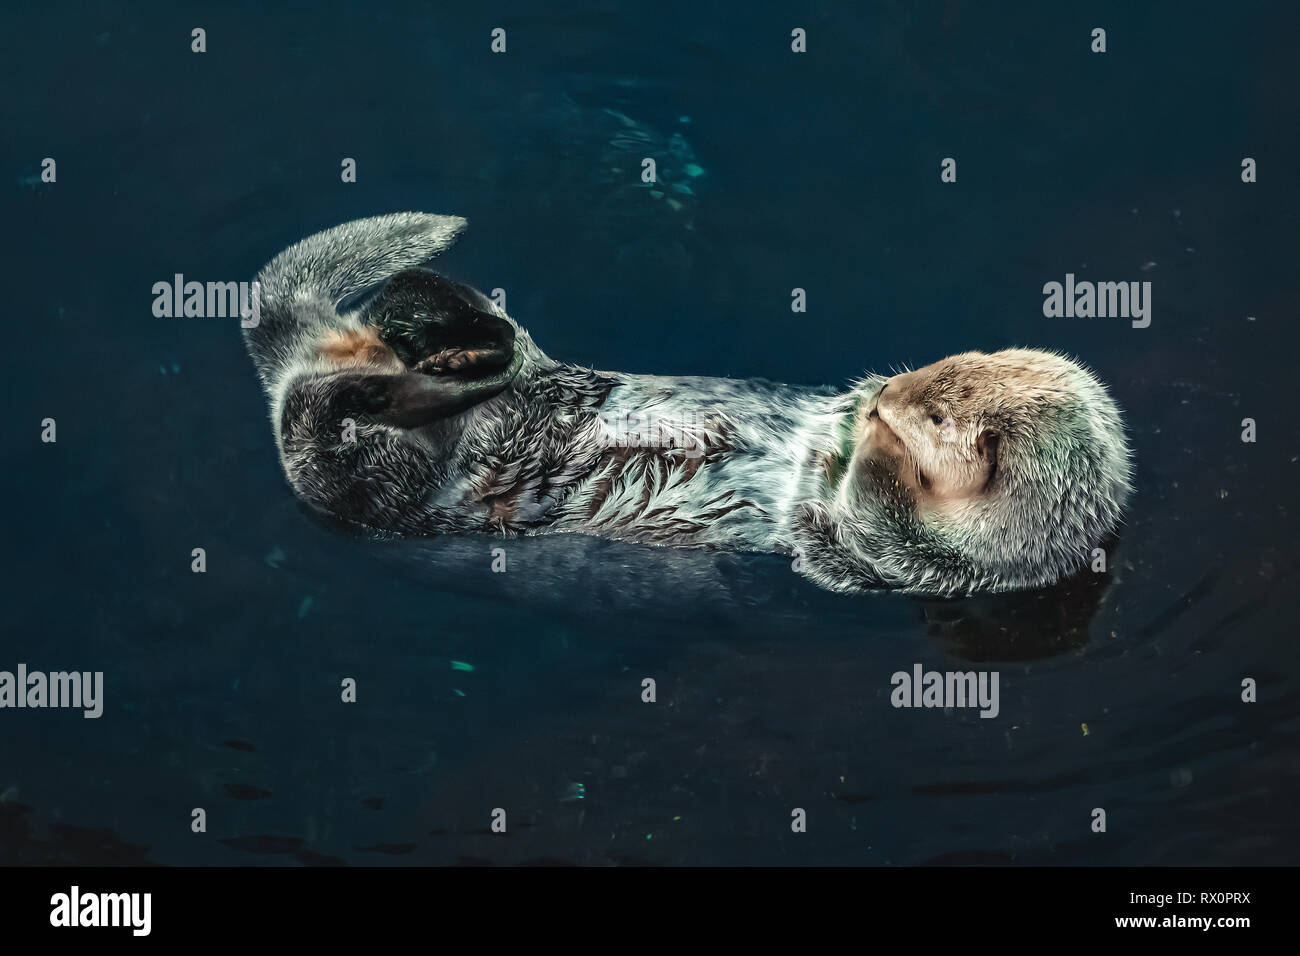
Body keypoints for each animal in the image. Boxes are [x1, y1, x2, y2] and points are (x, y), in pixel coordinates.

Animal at [244, 213, 1133, 597]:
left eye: (940, 420)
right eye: (944, 368)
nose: (885, 396)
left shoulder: (902, 565)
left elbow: (860, 525)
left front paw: (873, 442)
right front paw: (853, 413)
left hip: (378, 489)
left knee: (332, 422)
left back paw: (442, 371)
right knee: (414, 304)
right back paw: (469, 343)